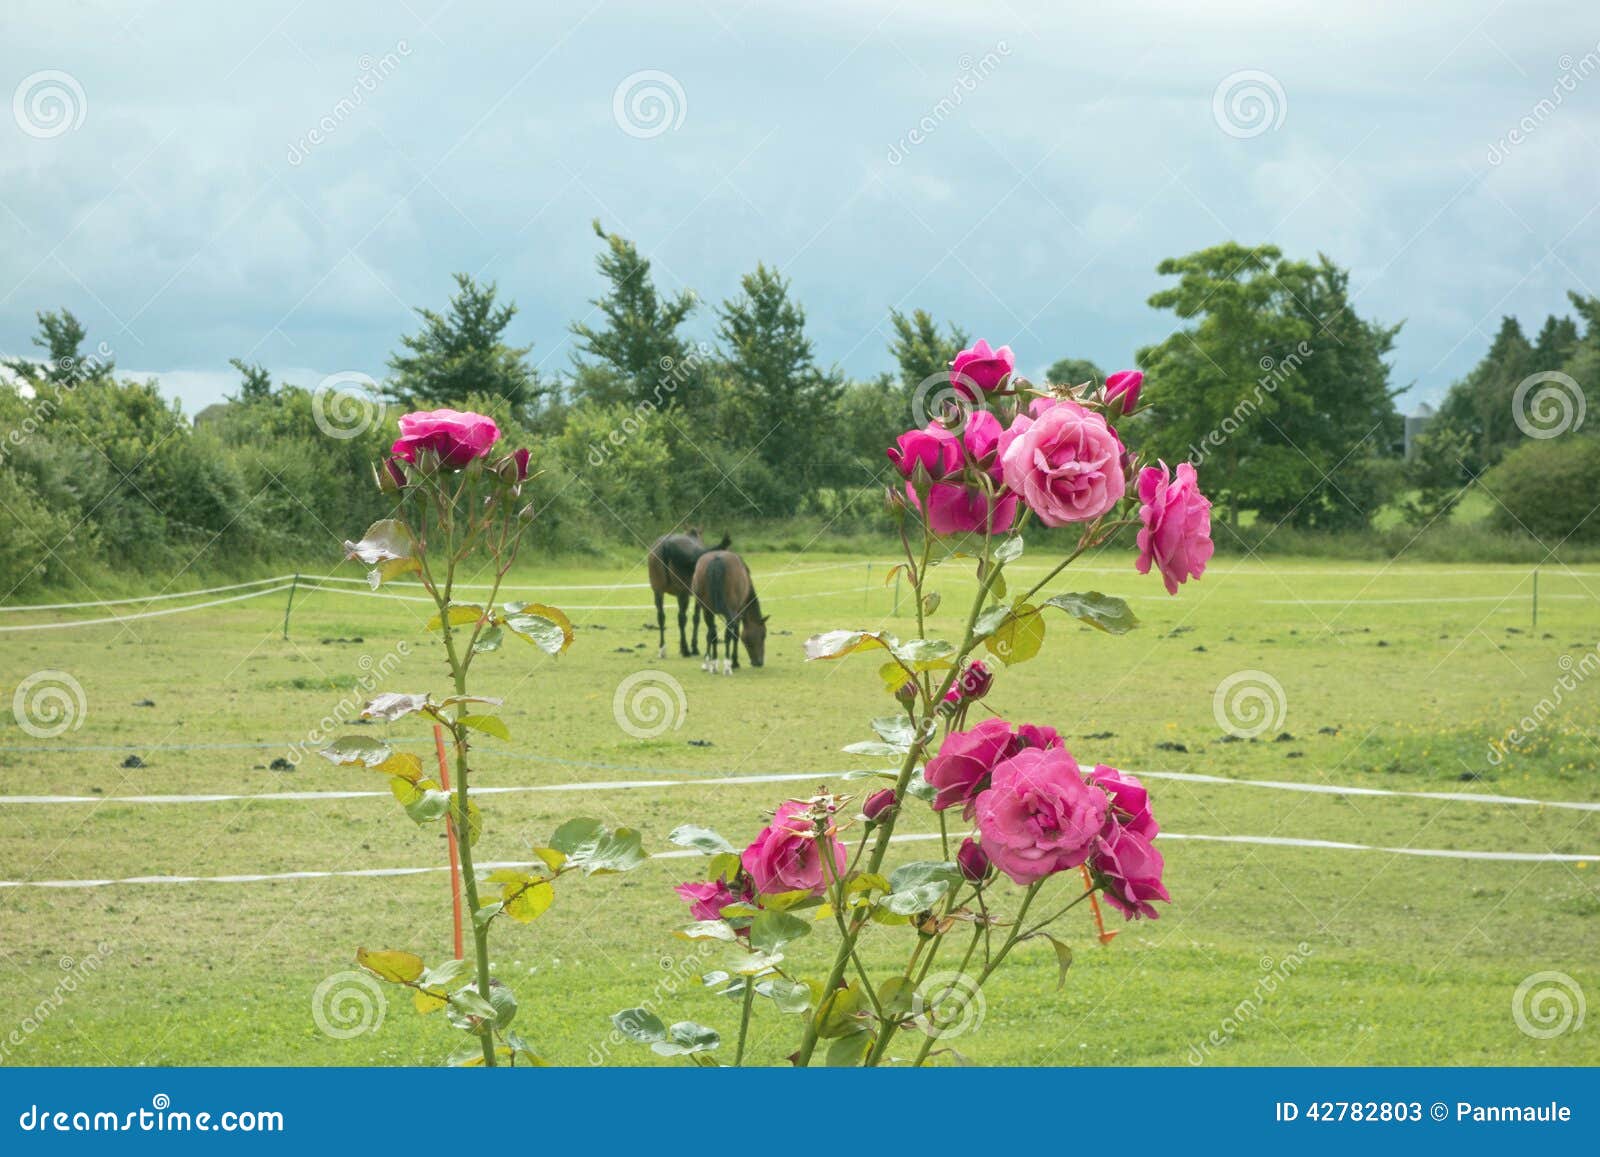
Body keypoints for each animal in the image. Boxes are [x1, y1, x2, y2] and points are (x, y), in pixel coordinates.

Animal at [647, 529, 730, 659]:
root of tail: (666, 544)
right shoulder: (696, 597)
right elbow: (696, 618)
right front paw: (694, 647)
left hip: (658, 591)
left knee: (661, 617)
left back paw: (662, 648)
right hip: (682, 594)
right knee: (681, 618)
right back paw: (685, 649)